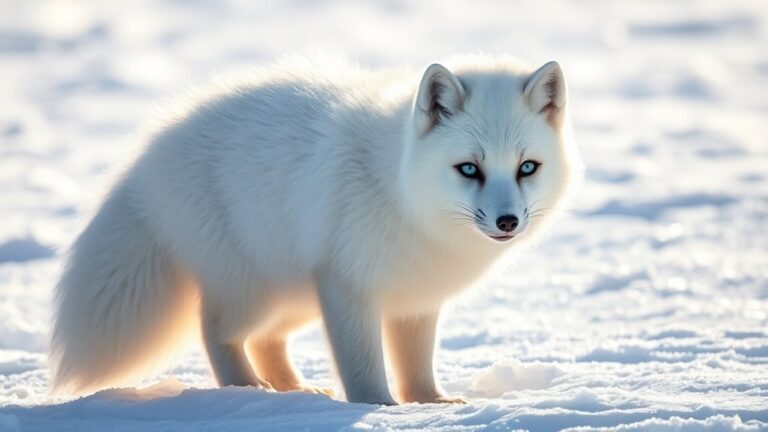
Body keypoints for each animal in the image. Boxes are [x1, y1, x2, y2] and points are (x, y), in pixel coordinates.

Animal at [51, 54, 581, 405]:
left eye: (527, 167)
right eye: (469, 168)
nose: (508, 221)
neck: (401, 193)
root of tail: (141, 168)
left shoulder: (415, 299)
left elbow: (416, 366)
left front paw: (430, 405)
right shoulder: (348, 286)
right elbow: (363, 366)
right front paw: (378, 408)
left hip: (295, 299)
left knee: (266, 341)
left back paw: (295, 389)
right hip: (257, 291)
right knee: (216, 332)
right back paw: (248, 388)